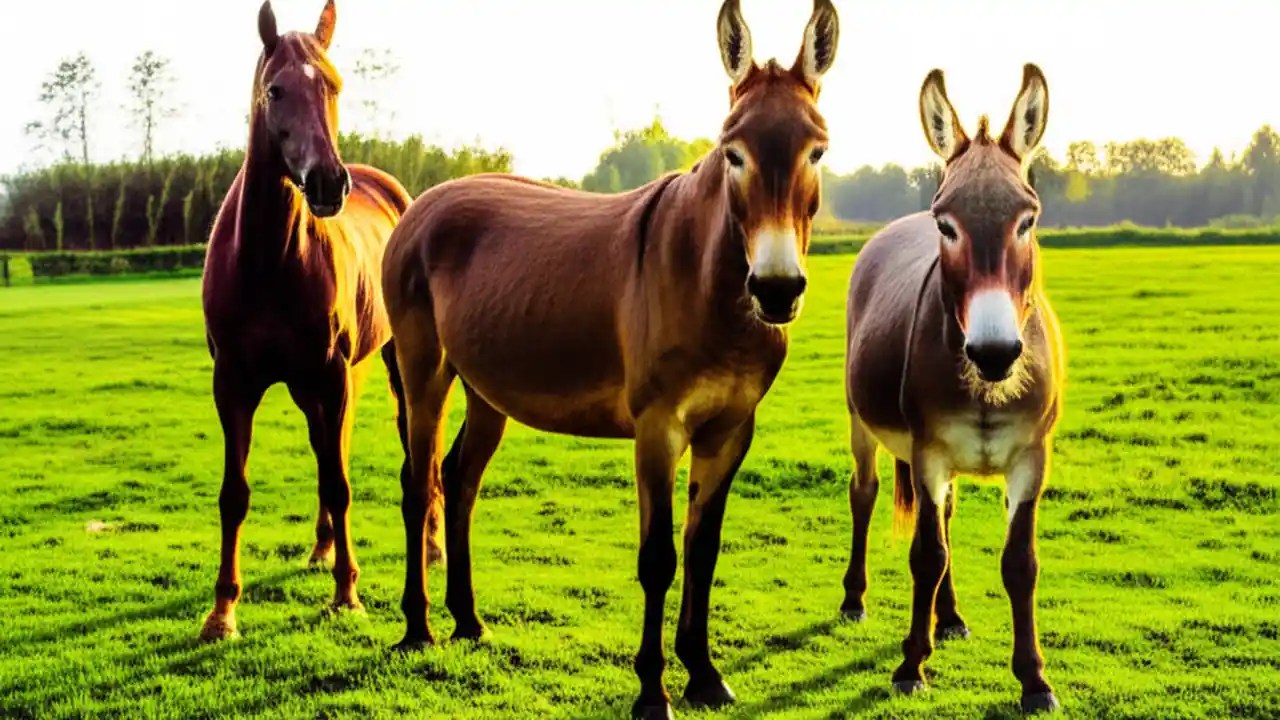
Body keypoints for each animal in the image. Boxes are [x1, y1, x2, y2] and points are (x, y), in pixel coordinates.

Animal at [198, 0, 416, 641]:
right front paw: (222, 611)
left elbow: (339, 484)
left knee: (405, 444)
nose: (326, 183)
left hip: (388, 366)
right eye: (276, 90)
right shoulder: (234, 383)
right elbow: (235, 493)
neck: (268, 259)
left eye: (335, 86)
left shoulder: (330, 374)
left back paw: (431, 546)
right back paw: (321, 549)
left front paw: (348, 594)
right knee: (326, 447)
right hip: (311, 387)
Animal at [379, 1, 840, 716]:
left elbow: (703, 549)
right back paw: (418, 629)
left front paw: (704, 674)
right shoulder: (658, 428)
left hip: (487, 390)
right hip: (424, 367)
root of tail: (424, 200)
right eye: (732, 152)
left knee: (459, 478)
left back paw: (469, 620)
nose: (776, 289)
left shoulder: (729, 431)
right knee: (417, 480)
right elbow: (659, 558)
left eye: (817, 149)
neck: (708, 284)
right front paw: (653, 690)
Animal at [840, 63, 1065, 713]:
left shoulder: (1032, 459)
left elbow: (1020, 564)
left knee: (944, 515)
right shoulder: (929, 451)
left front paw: (1034, 680)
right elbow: (926, 555)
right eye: (947, 224)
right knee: (864, 494)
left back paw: (952, 616)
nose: (993, 353)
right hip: (862, 424)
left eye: (1028, 219)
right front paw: (911, 665)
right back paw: (855, 599)